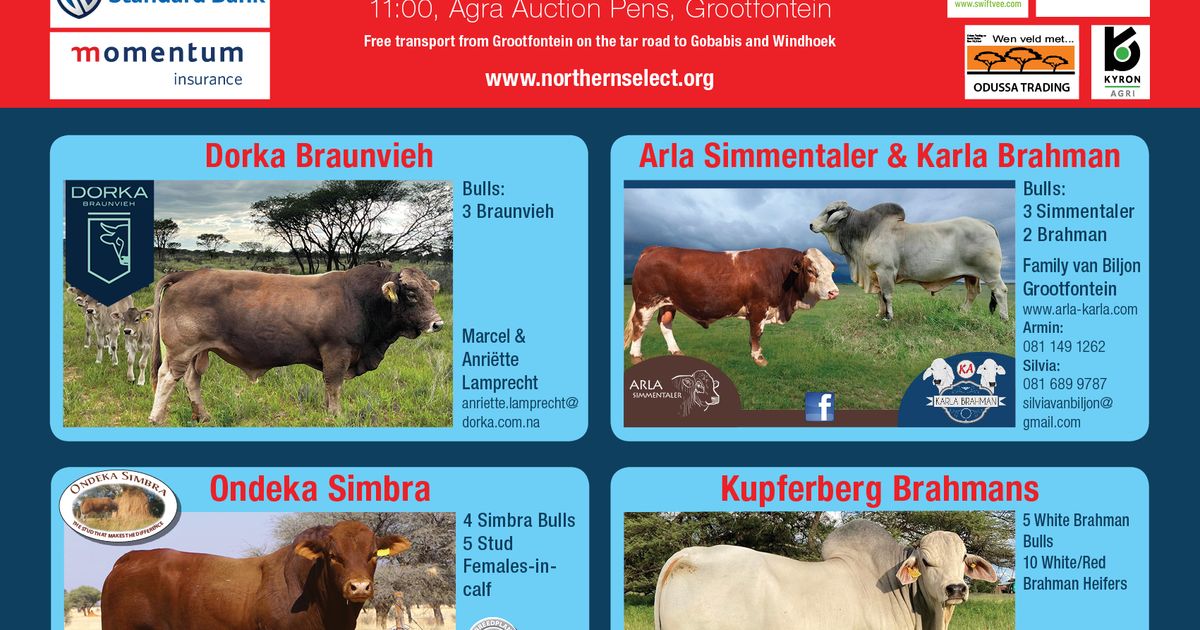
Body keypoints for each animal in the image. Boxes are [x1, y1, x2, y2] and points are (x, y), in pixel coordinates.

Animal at [148, 265, 444, 424]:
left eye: (431, 292)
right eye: (411, 293)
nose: (437, 323)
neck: (361, 300)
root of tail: (189, 273)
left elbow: (330, 388)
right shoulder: (336, 351)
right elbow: (334, 385)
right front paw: (335, 415)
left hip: (197, 351)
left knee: (191, 380)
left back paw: (203, 415)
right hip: (181, 349)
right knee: (167, 377)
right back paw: (157, 418)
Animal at [624, 247, 839, 367]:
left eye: (832, 270)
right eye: (811, 270)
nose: (834, 292)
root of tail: (654, 248)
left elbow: (754, 335)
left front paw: (753, 351)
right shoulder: (758, 307)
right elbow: (757, 332)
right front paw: (758, 358)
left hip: (669, 303)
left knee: (665, 324)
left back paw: (676, 351)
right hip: (647, 301)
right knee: (639, 326)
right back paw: (636, 356)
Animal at [809, 201, 1008, 322]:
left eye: (830, 212)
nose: (811, 225)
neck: (867, 233)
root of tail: (985, 223)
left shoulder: (885, 271)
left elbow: (887, 295)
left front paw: (889, 317)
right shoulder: (875, 274)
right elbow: (879, 296)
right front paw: (880, 314)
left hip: (990, 272)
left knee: (1000, 291)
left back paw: (1003, 318)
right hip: (971, 274)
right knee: (972, 293)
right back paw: (962, 313)